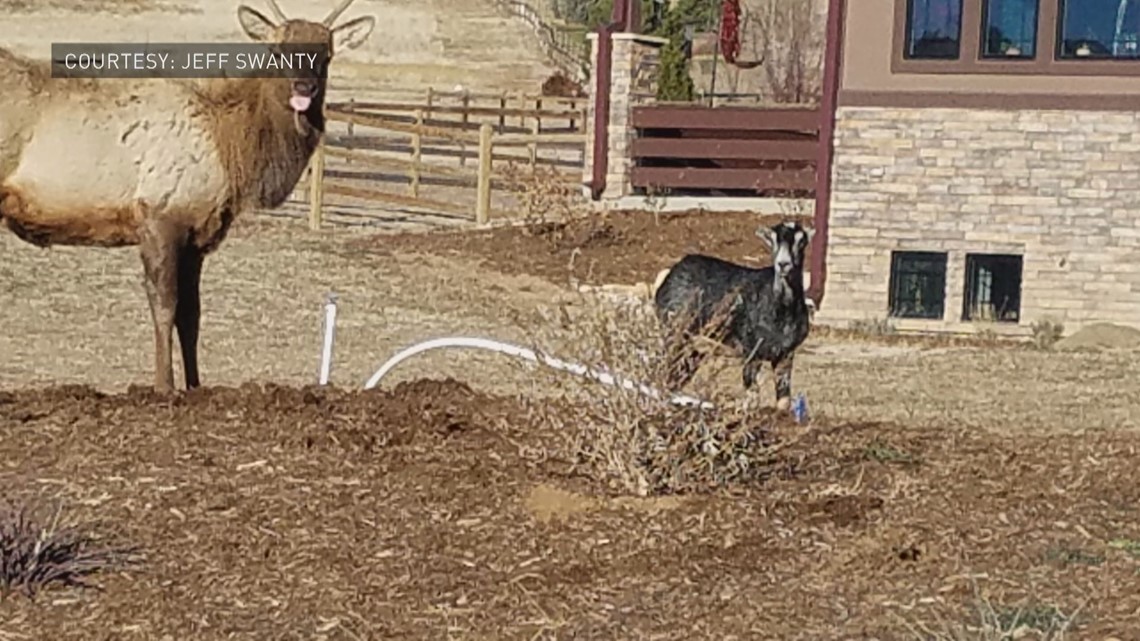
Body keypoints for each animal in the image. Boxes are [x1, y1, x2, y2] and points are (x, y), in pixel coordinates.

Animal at [0, 0, 376, 393]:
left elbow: (192, 315)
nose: (304, 87)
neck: (230, 148)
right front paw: (163, 386)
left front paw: (195, 386)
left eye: (327, 55)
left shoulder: (198, 233)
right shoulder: (159, 216)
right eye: (276, 51)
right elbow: (165, 306)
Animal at [653, 221, 813, 411]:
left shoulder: (786, 354)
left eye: (801, 241)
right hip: (675, 336)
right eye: (772, 239)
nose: (783, 264)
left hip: (694, 349)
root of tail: (668, 277)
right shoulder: (751, 351)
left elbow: (783, 401)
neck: (781, 309)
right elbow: (752, 398)